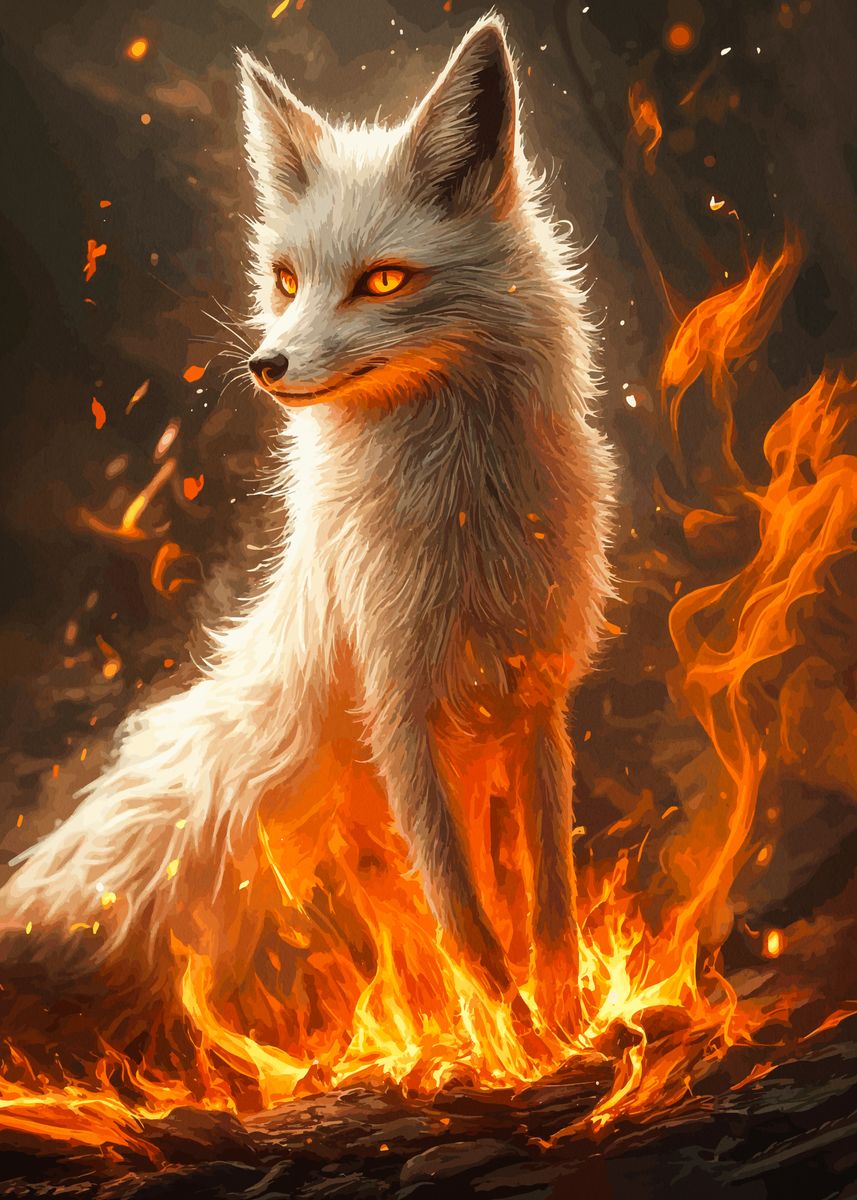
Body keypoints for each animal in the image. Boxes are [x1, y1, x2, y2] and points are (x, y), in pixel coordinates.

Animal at [0, 15, 613, 1040]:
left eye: (384, 280)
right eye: (286, 279)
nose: (265, 364)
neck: (460, 524)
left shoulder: (536, 704)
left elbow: (548, 903)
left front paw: (564, 1020)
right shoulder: (395, 713)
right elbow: (464, 919)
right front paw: (519, 1041)